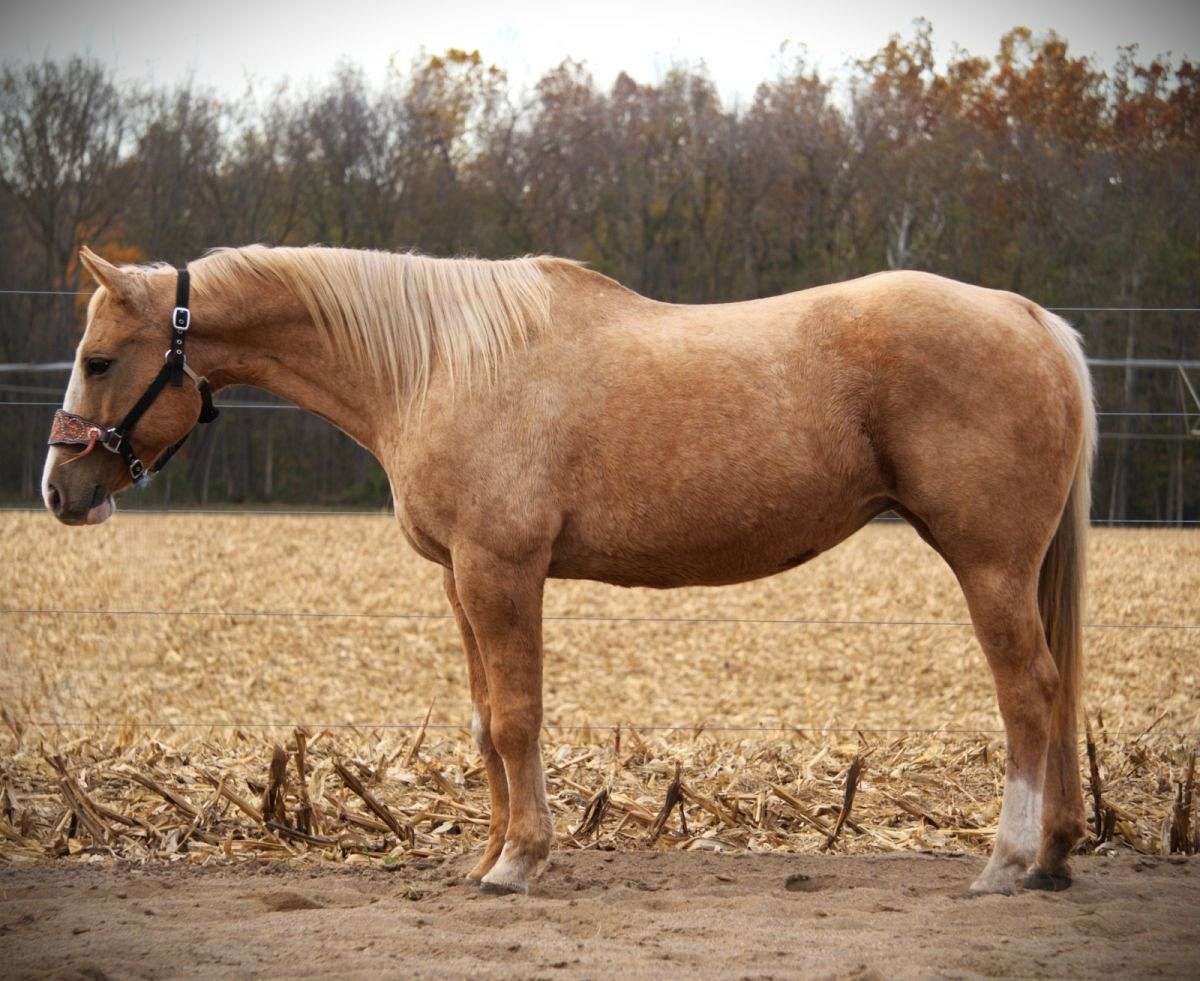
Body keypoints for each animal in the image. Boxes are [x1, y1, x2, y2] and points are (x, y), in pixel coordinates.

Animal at [43, 244, 1094, 896]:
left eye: (99, 359)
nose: (61, 490)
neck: (436, 363)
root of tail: (1032, 319)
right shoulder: (458, 578)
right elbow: (483, 721)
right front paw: (488, 855)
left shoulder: (501, 570)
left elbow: (516, 717)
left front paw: (521, 861)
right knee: (1054, 692)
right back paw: (1052, 855)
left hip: (989, 566)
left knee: (1028, 693)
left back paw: (1006, 860)